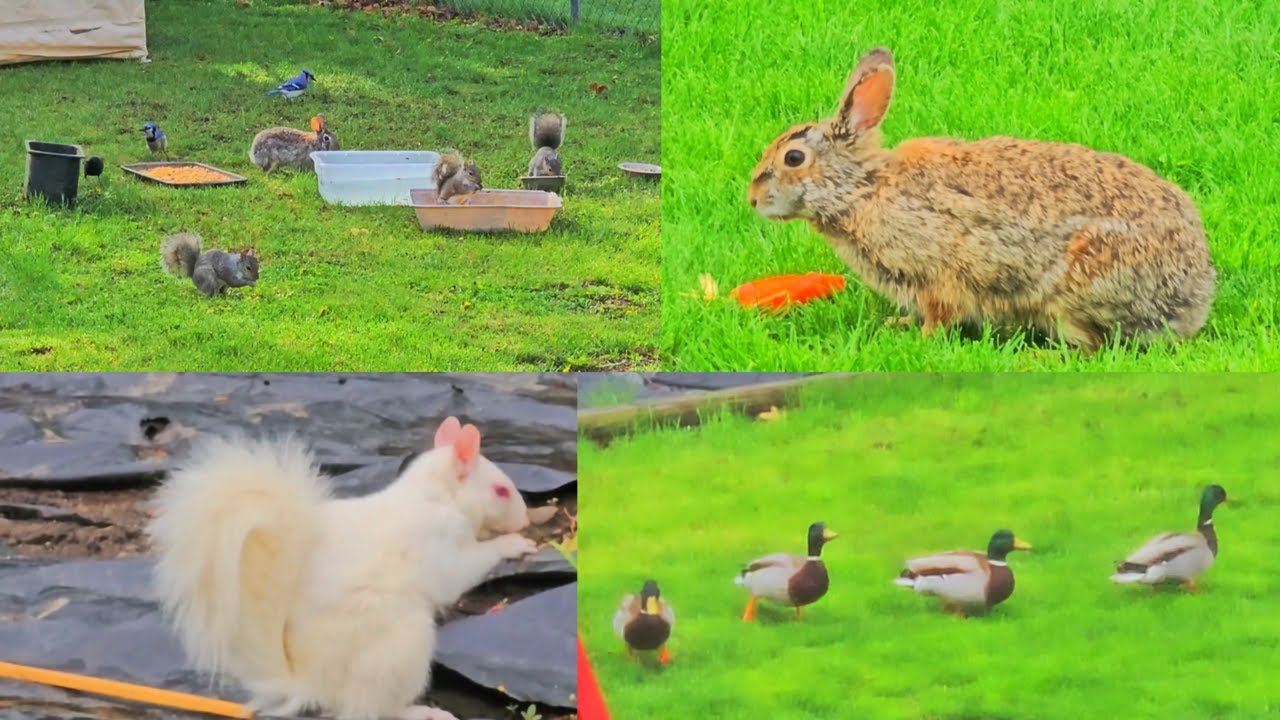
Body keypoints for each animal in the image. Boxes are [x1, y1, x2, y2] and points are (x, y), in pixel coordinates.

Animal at [147, 417, 536, 720]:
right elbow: (460, 572)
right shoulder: (435, 544)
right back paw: (421, 711)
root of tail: (310, 683)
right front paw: (513, 544)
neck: (439, 498)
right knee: (369, 710)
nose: (526, 520)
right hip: (398, 647)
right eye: (501, 491)